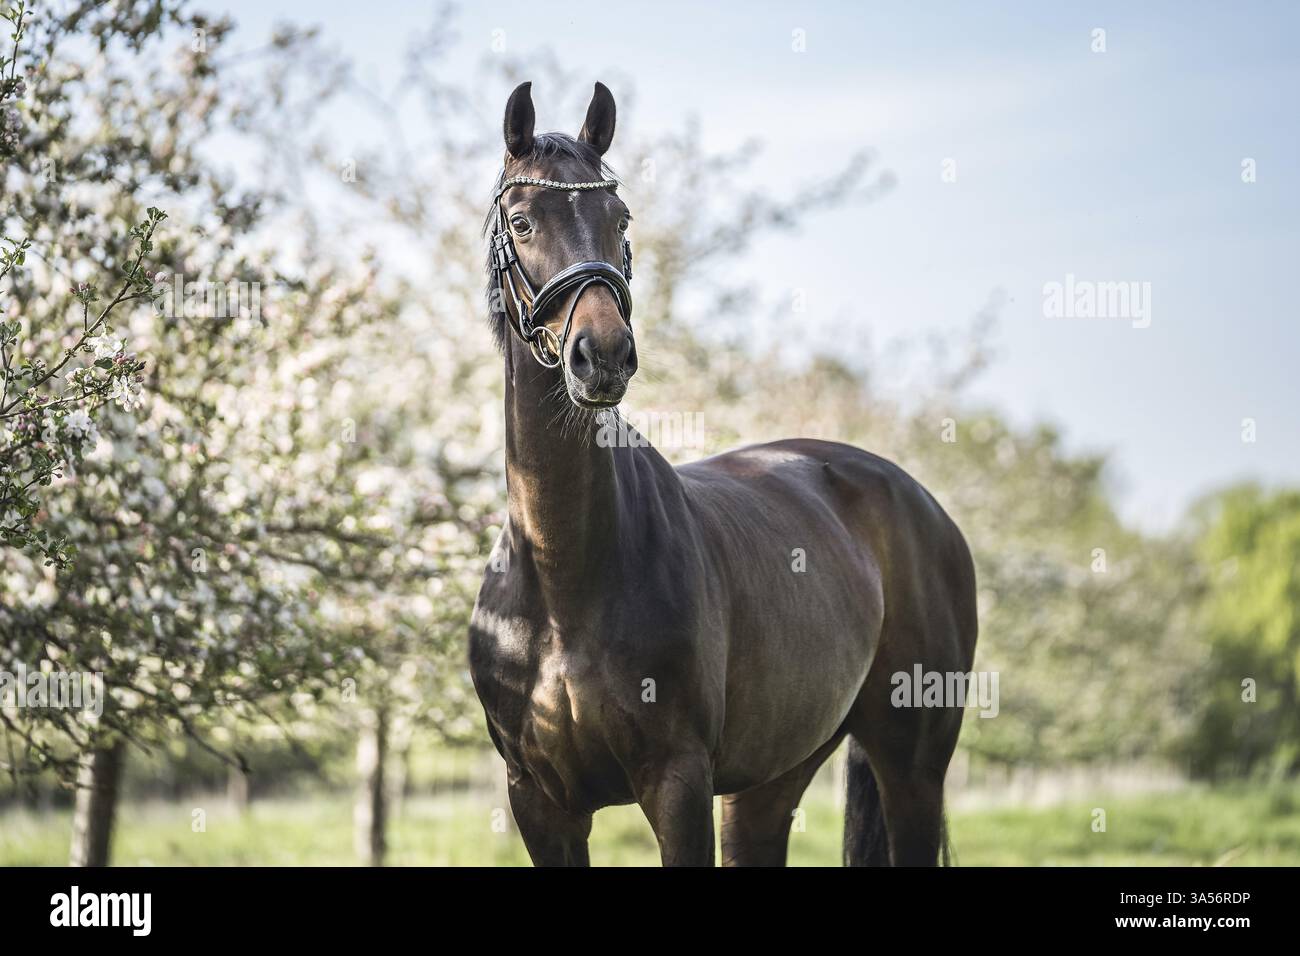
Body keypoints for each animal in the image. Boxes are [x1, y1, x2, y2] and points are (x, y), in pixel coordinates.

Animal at [469, 81, 978, 866]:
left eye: (620, 218)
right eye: (521, 221)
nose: (602, 354)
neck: (563, 576)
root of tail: (919, 502)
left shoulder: (677, 781)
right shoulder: (540, 802)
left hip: (913, 765)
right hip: (774, 775)